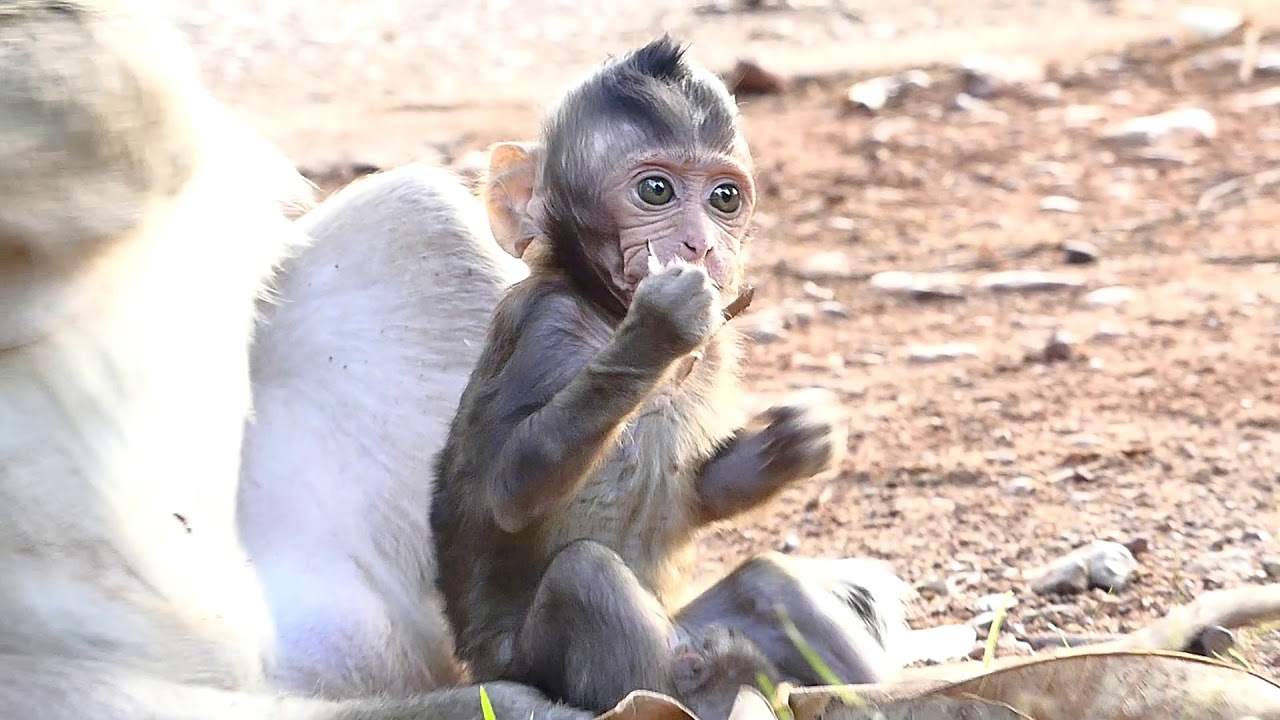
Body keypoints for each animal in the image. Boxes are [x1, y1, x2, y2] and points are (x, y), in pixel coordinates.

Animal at [430, 36, 912, 716]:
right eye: (655, 191)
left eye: (725, 198)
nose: (701, 245)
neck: (604, 309)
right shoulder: (546, 331)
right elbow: (511, 488)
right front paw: (659, 326)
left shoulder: (718, 348)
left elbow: (700, 490)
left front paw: (792, 443)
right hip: (532, 669)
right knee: (586, 576)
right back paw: (710, 688)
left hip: (692, 623)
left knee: (769, 584)